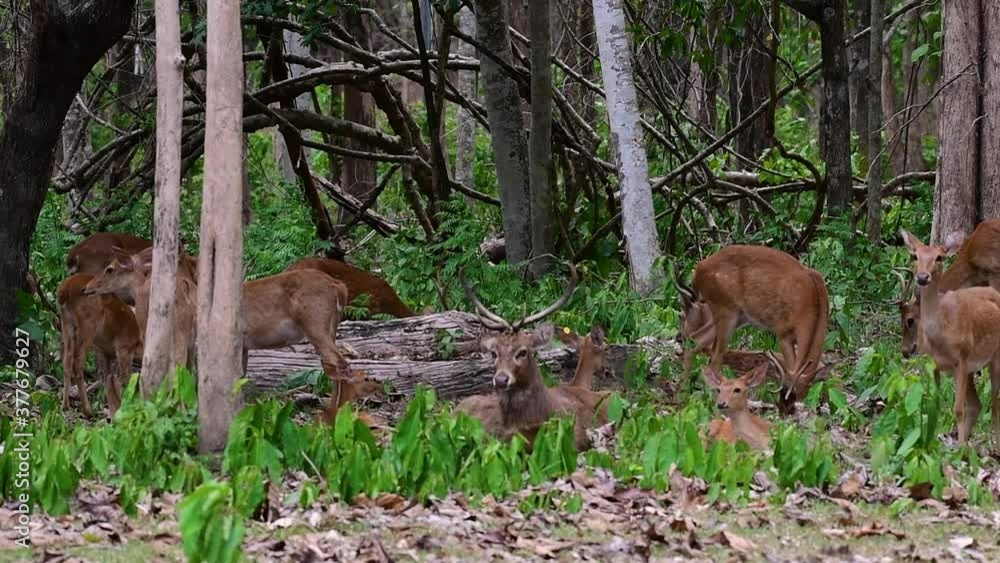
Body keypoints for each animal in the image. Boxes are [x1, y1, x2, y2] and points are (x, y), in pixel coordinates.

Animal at [57, 274, 143, 418]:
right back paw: (87, 410)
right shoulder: (124, 348)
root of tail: (65, 289)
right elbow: (125, 379)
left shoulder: (105, 352)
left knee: (67, 360)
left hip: (67, 324)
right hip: (88, 325)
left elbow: (109, 379)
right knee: (77, 363)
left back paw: (65, 405)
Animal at [674, 245, 830, 413]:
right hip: (725, 310)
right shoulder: (783, 334)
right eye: (783, 391)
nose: (784, 410)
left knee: (696, 342)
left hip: (737, 317)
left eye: (801, 395)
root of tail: (698, 270)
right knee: (715, 359)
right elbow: (789, 365)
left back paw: (681, 397)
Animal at [902, 230, 1000, 446]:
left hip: (994, 358)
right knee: (978, 405)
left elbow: (958, 409)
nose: (923, 277)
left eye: (939, 257)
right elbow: (935, 404)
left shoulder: (961, 360)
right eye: (915, 256)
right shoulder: (935, 365)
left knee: (995, 404)